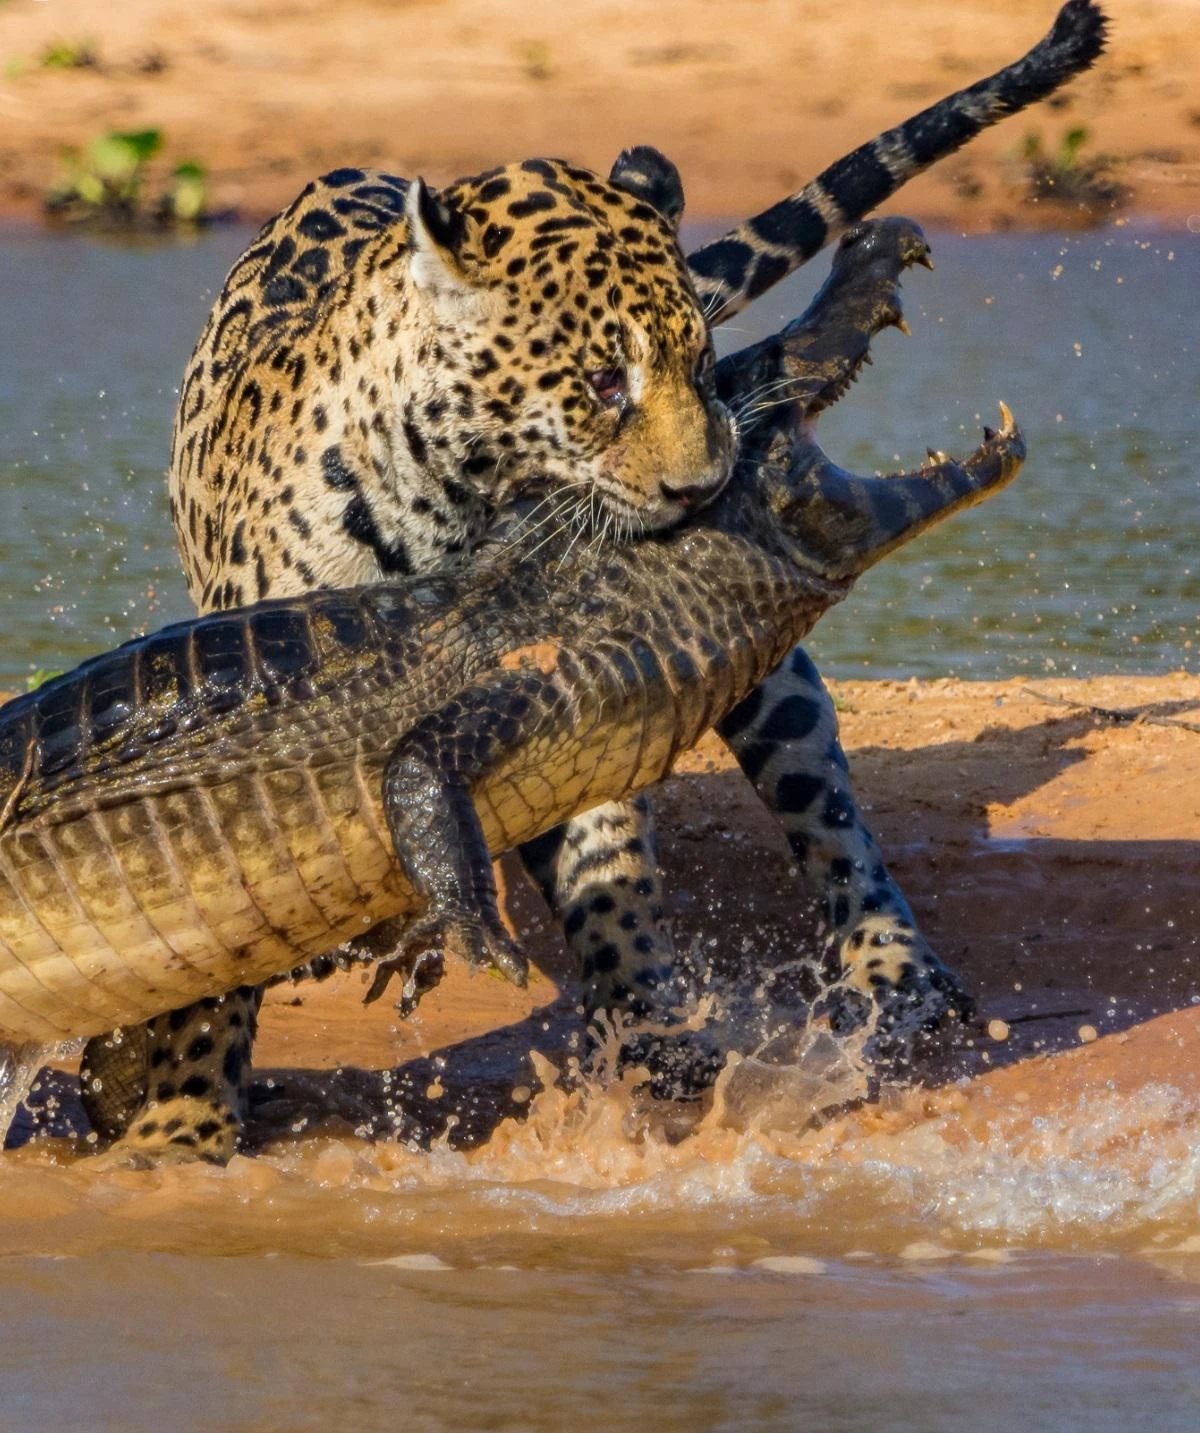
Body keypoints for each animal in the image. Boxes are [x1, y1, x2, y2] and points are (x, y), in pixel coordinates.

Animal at [80, 0, 1107, 1161]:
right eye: (603, 382)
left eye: (701, 363)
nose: (706, 485)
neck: (462, 503)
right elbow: (211, 949)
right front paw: (181, 1128)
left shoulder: (584, 676)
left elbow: (605, 860)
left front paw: (648, 1030)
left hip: (776, 688)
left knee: (831, 815)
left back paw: (895, 970)